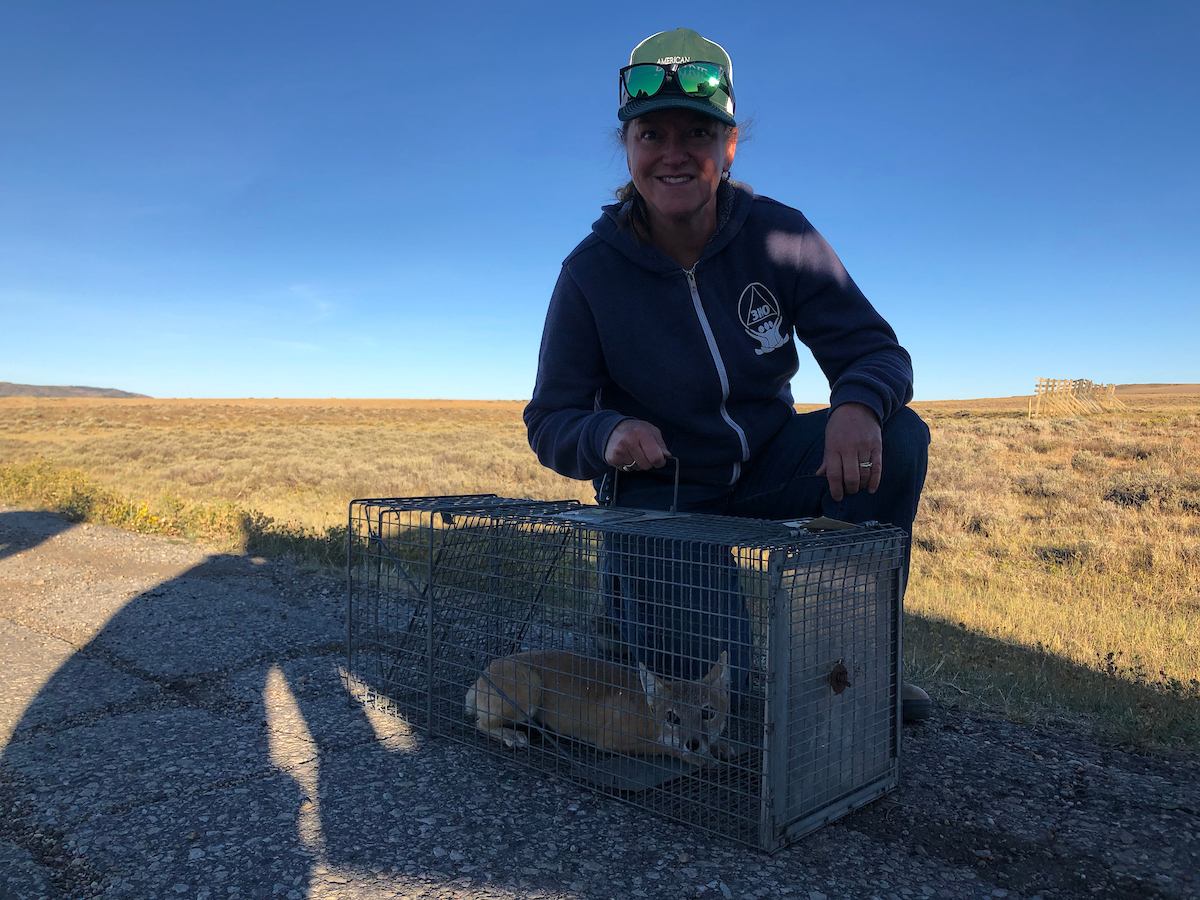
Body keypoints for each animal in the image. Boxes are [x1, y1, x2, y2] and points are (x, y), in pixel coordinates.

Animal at [465, 649, 733, 766]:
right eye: (672, 717)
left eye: (707, 712)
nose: (693, 743)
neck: (646, 714)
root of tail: (480, 679)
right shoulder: (610, 739)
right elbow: (663, 747)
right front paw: (697, 757)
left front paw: (719, 746)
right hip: (529, 692)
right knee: (481, 723)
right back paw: (511, 735)